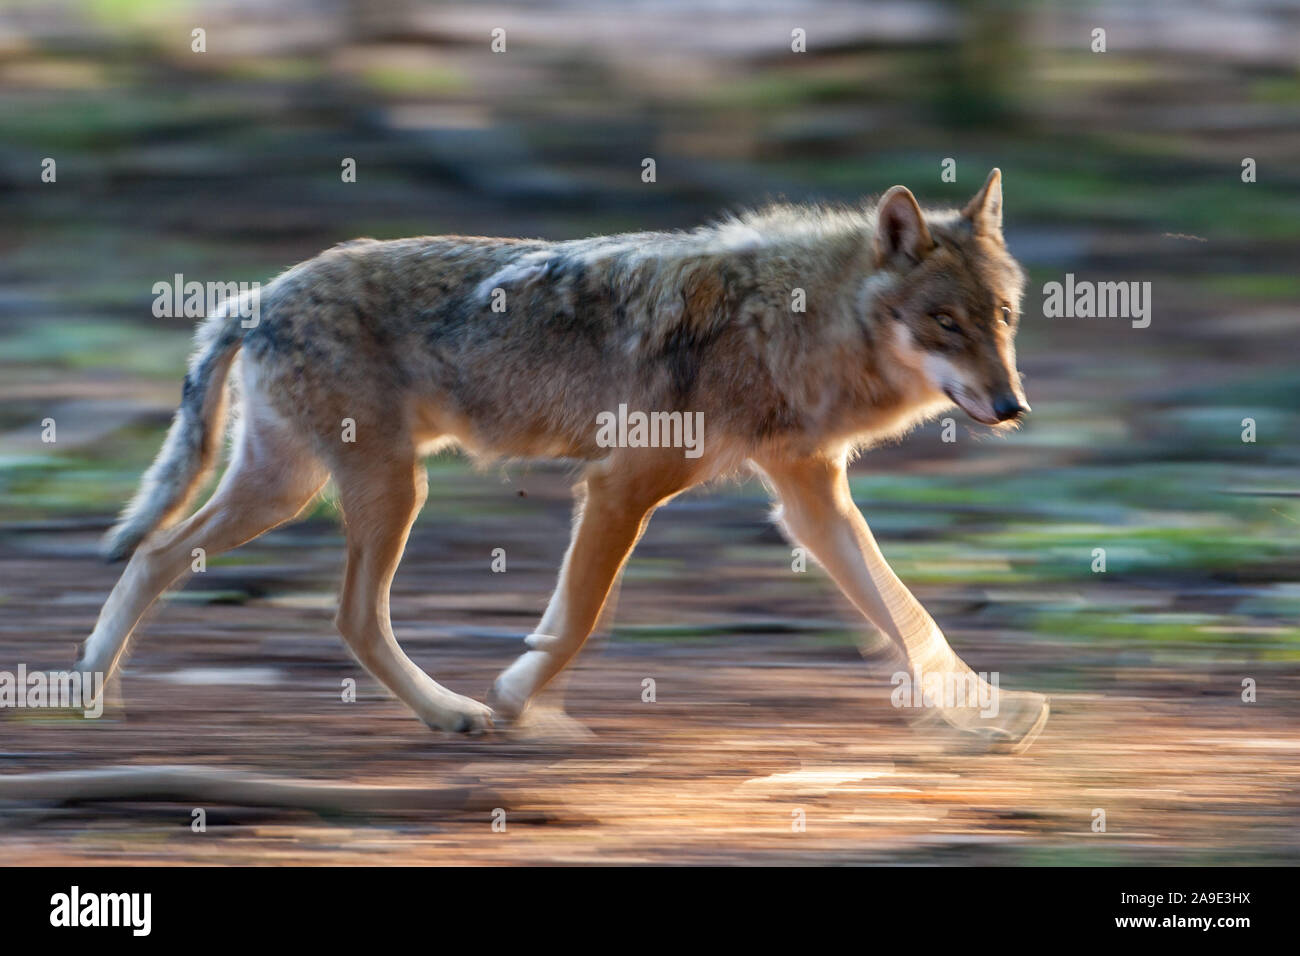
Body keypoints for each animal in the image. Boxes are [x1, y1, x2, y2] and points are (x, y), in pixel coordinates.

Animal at [78, 168, 1048, 750]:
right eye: (944, 323)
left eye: (1001, 318)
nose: (1013, 407)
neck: (792, 320)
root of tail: (256, 295)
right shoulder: (622, 486)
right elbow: (576, 619)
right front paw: (519, 701)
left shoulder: (813, 501)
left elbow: (913, 619)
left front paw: (984, 713)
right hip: (378, 491)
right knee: (338, 611)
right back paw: (452, 711)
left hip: (297, 487)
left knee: (162, 553)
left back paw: (92, 687)